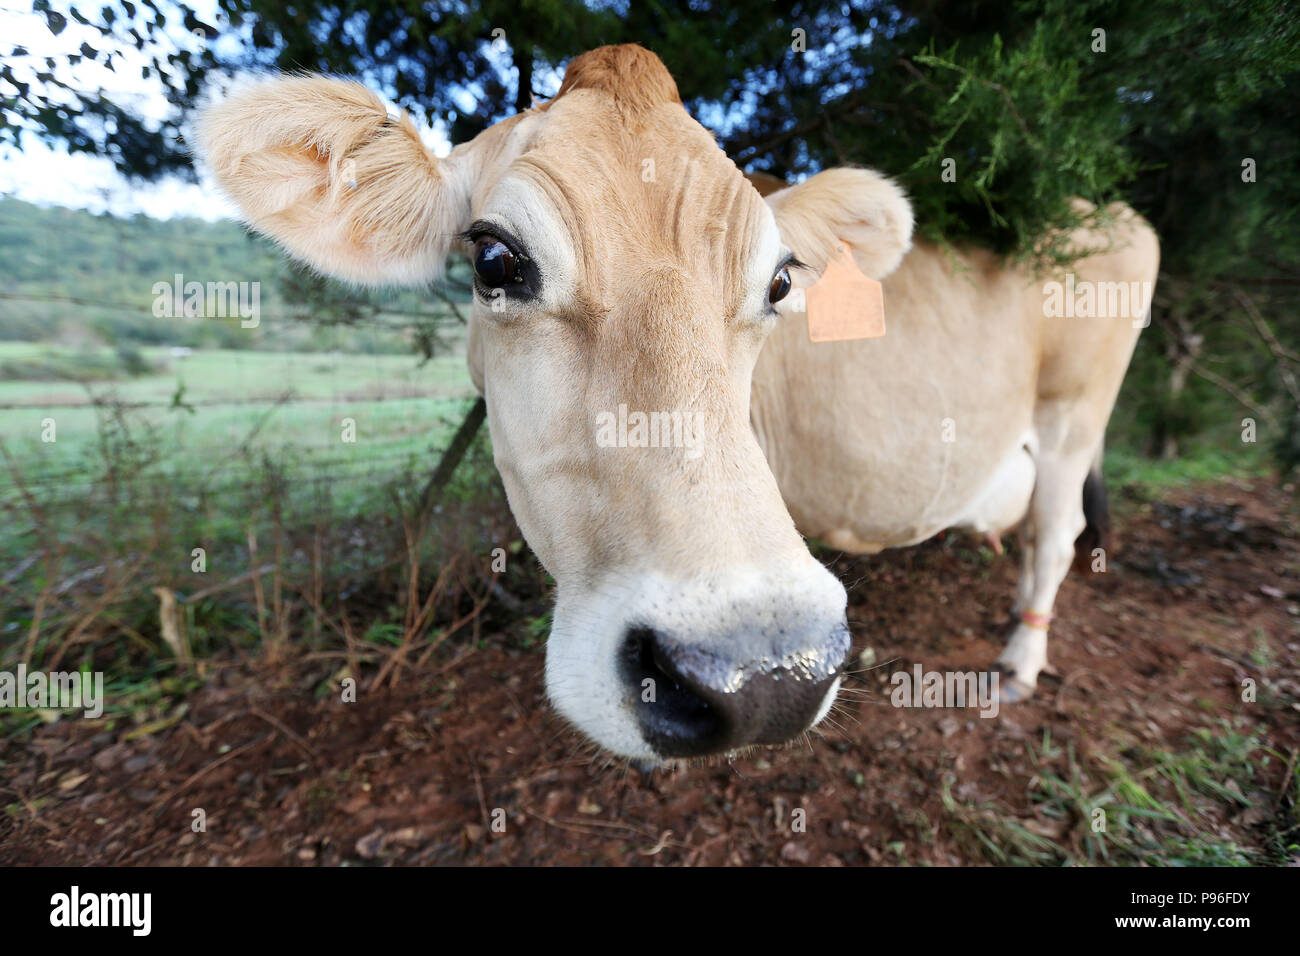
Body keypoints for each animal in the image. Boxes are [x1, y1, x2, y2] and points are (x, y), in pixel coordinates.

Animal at [195, 44, 1159, 764]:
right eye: (495, 259)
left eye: (780, 282)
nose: (767, 676)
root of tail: (1112, 211)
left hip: (1076, 415)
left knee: (1057, 532)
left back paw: (1021, 658)